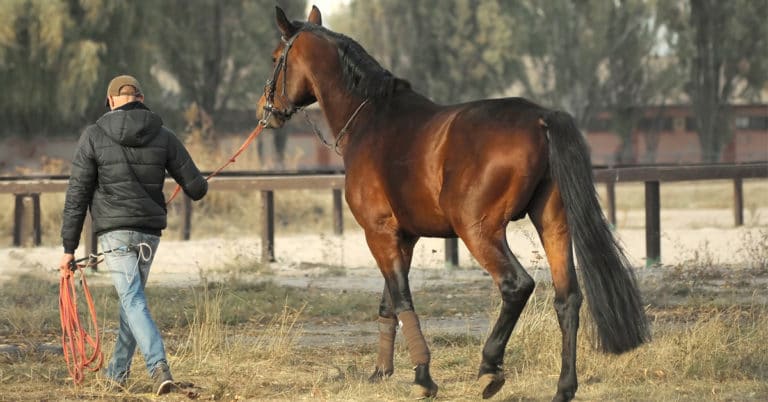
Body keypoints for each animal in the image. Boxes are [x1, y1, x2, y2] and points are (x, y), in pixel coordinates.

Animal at [256, 6, 650, 401]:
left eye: (275, 59)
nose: (266, 110)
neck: (371, 120)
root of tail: (541, 118)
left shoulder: (378, 232)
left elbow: (402, 300)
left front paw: (423, 377)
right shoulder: (403, 236)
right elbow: (389, 302)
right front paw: (381, 372)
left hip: (478, 230)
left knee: (516, 286)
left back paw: (489, 368)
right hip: (552, 223)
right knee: (567, 297)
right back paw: (563, 388)